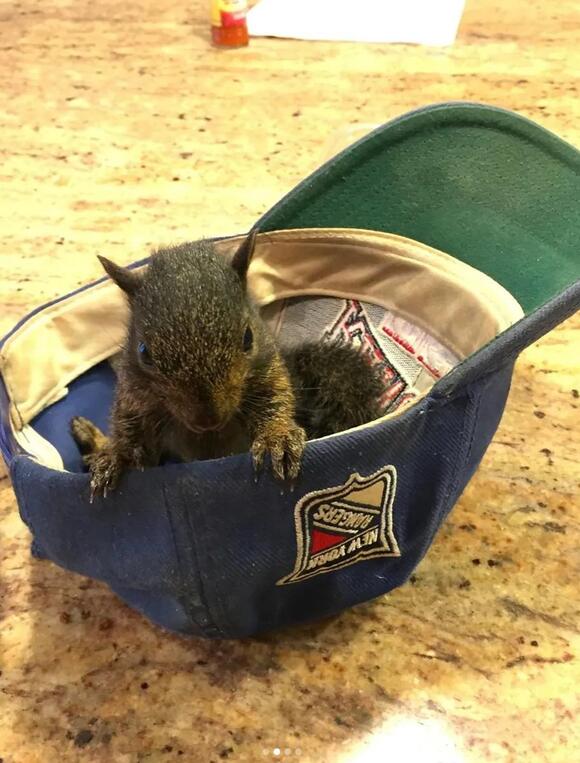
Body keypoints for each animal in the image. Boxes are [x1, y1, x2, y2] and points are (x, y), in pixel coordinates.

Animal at [71, 231, 384, 499]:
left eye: (248, 337)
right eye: (144, 352)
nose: (207, 419)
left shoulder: (269, 373)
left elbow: (277, 400)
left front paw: (277, 437)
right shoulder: (134, 397)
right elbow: (130, 433)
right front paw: (116, 454)